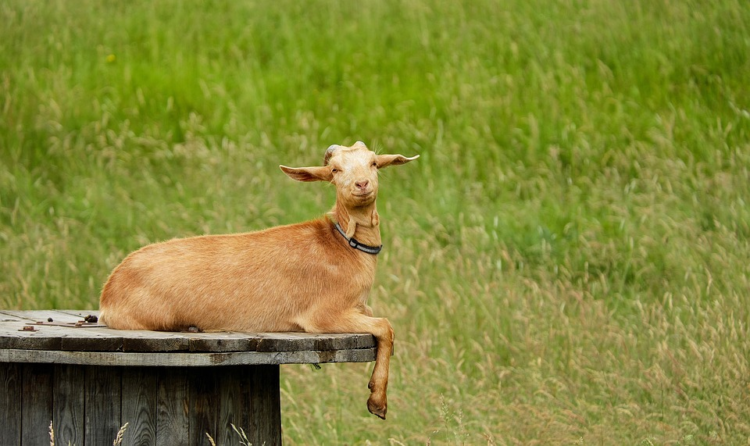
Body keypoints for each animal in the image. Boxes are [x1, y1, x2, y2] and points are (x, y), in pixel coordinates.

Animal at [98, 141, 418, 419]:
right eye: (335, 170)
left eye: (374, 163)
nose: (361, 184)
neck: (345, 248)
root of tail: (107, 293)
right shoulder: (322, 314)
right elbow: (386, 327)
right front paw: (377, 402)